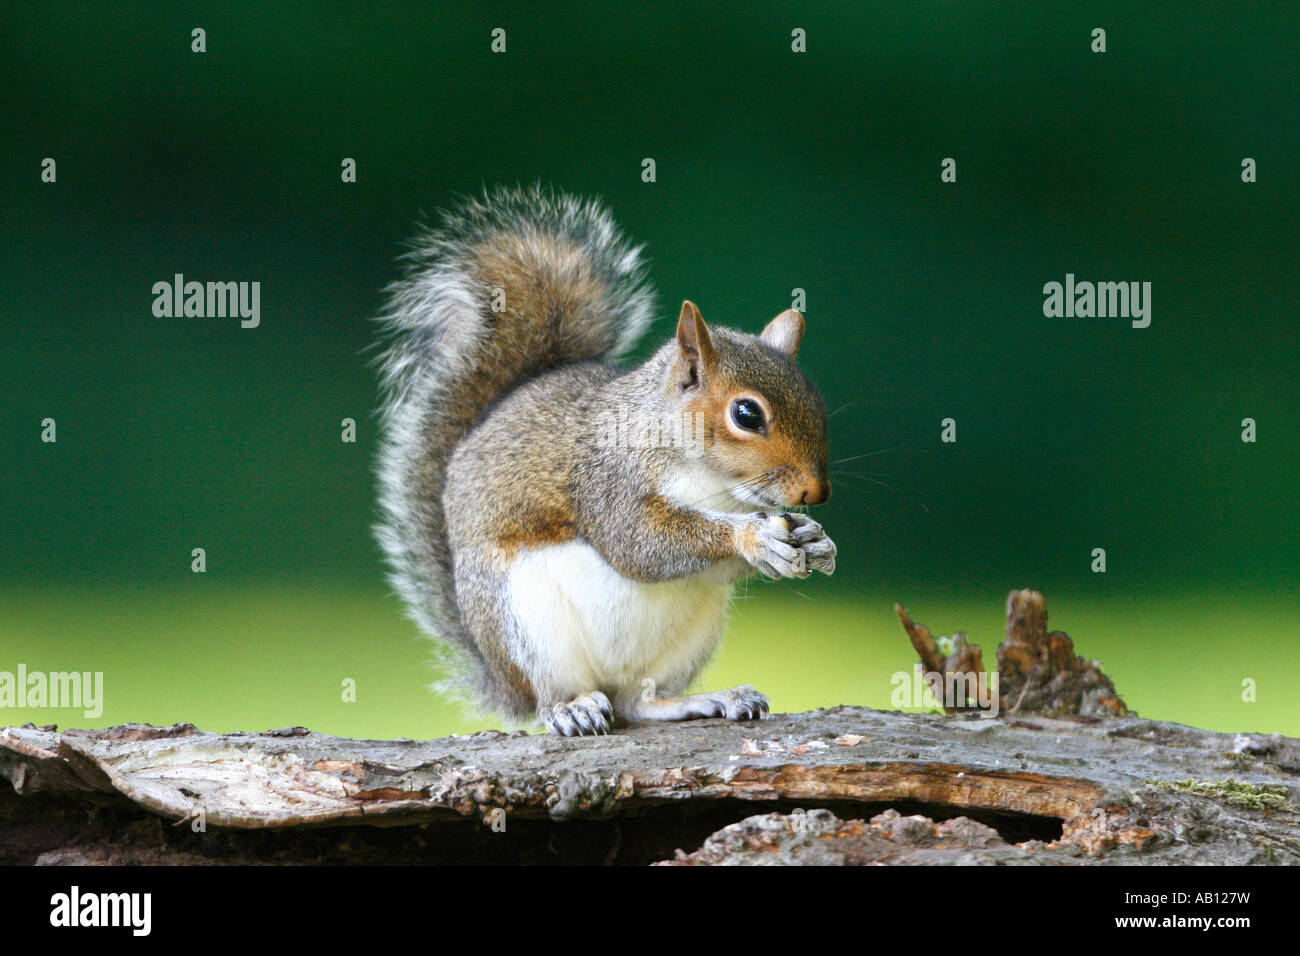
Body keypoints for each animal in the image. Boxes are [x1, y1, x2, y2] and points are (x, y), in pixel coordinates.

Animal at [374, 184, 836, 736]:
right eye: (747, 413)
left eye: (817, 402)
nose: (816, 493)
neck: (713, 483)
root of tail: (502, 682)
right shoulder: (606, 478)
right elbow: (636, 541)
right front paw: (752, 536)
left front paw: (816, 541)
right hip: (524, 625)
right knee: (553, 697)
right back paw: (570, 708)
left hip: (690, 637)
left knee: (639, 702)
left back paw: (708, 699)